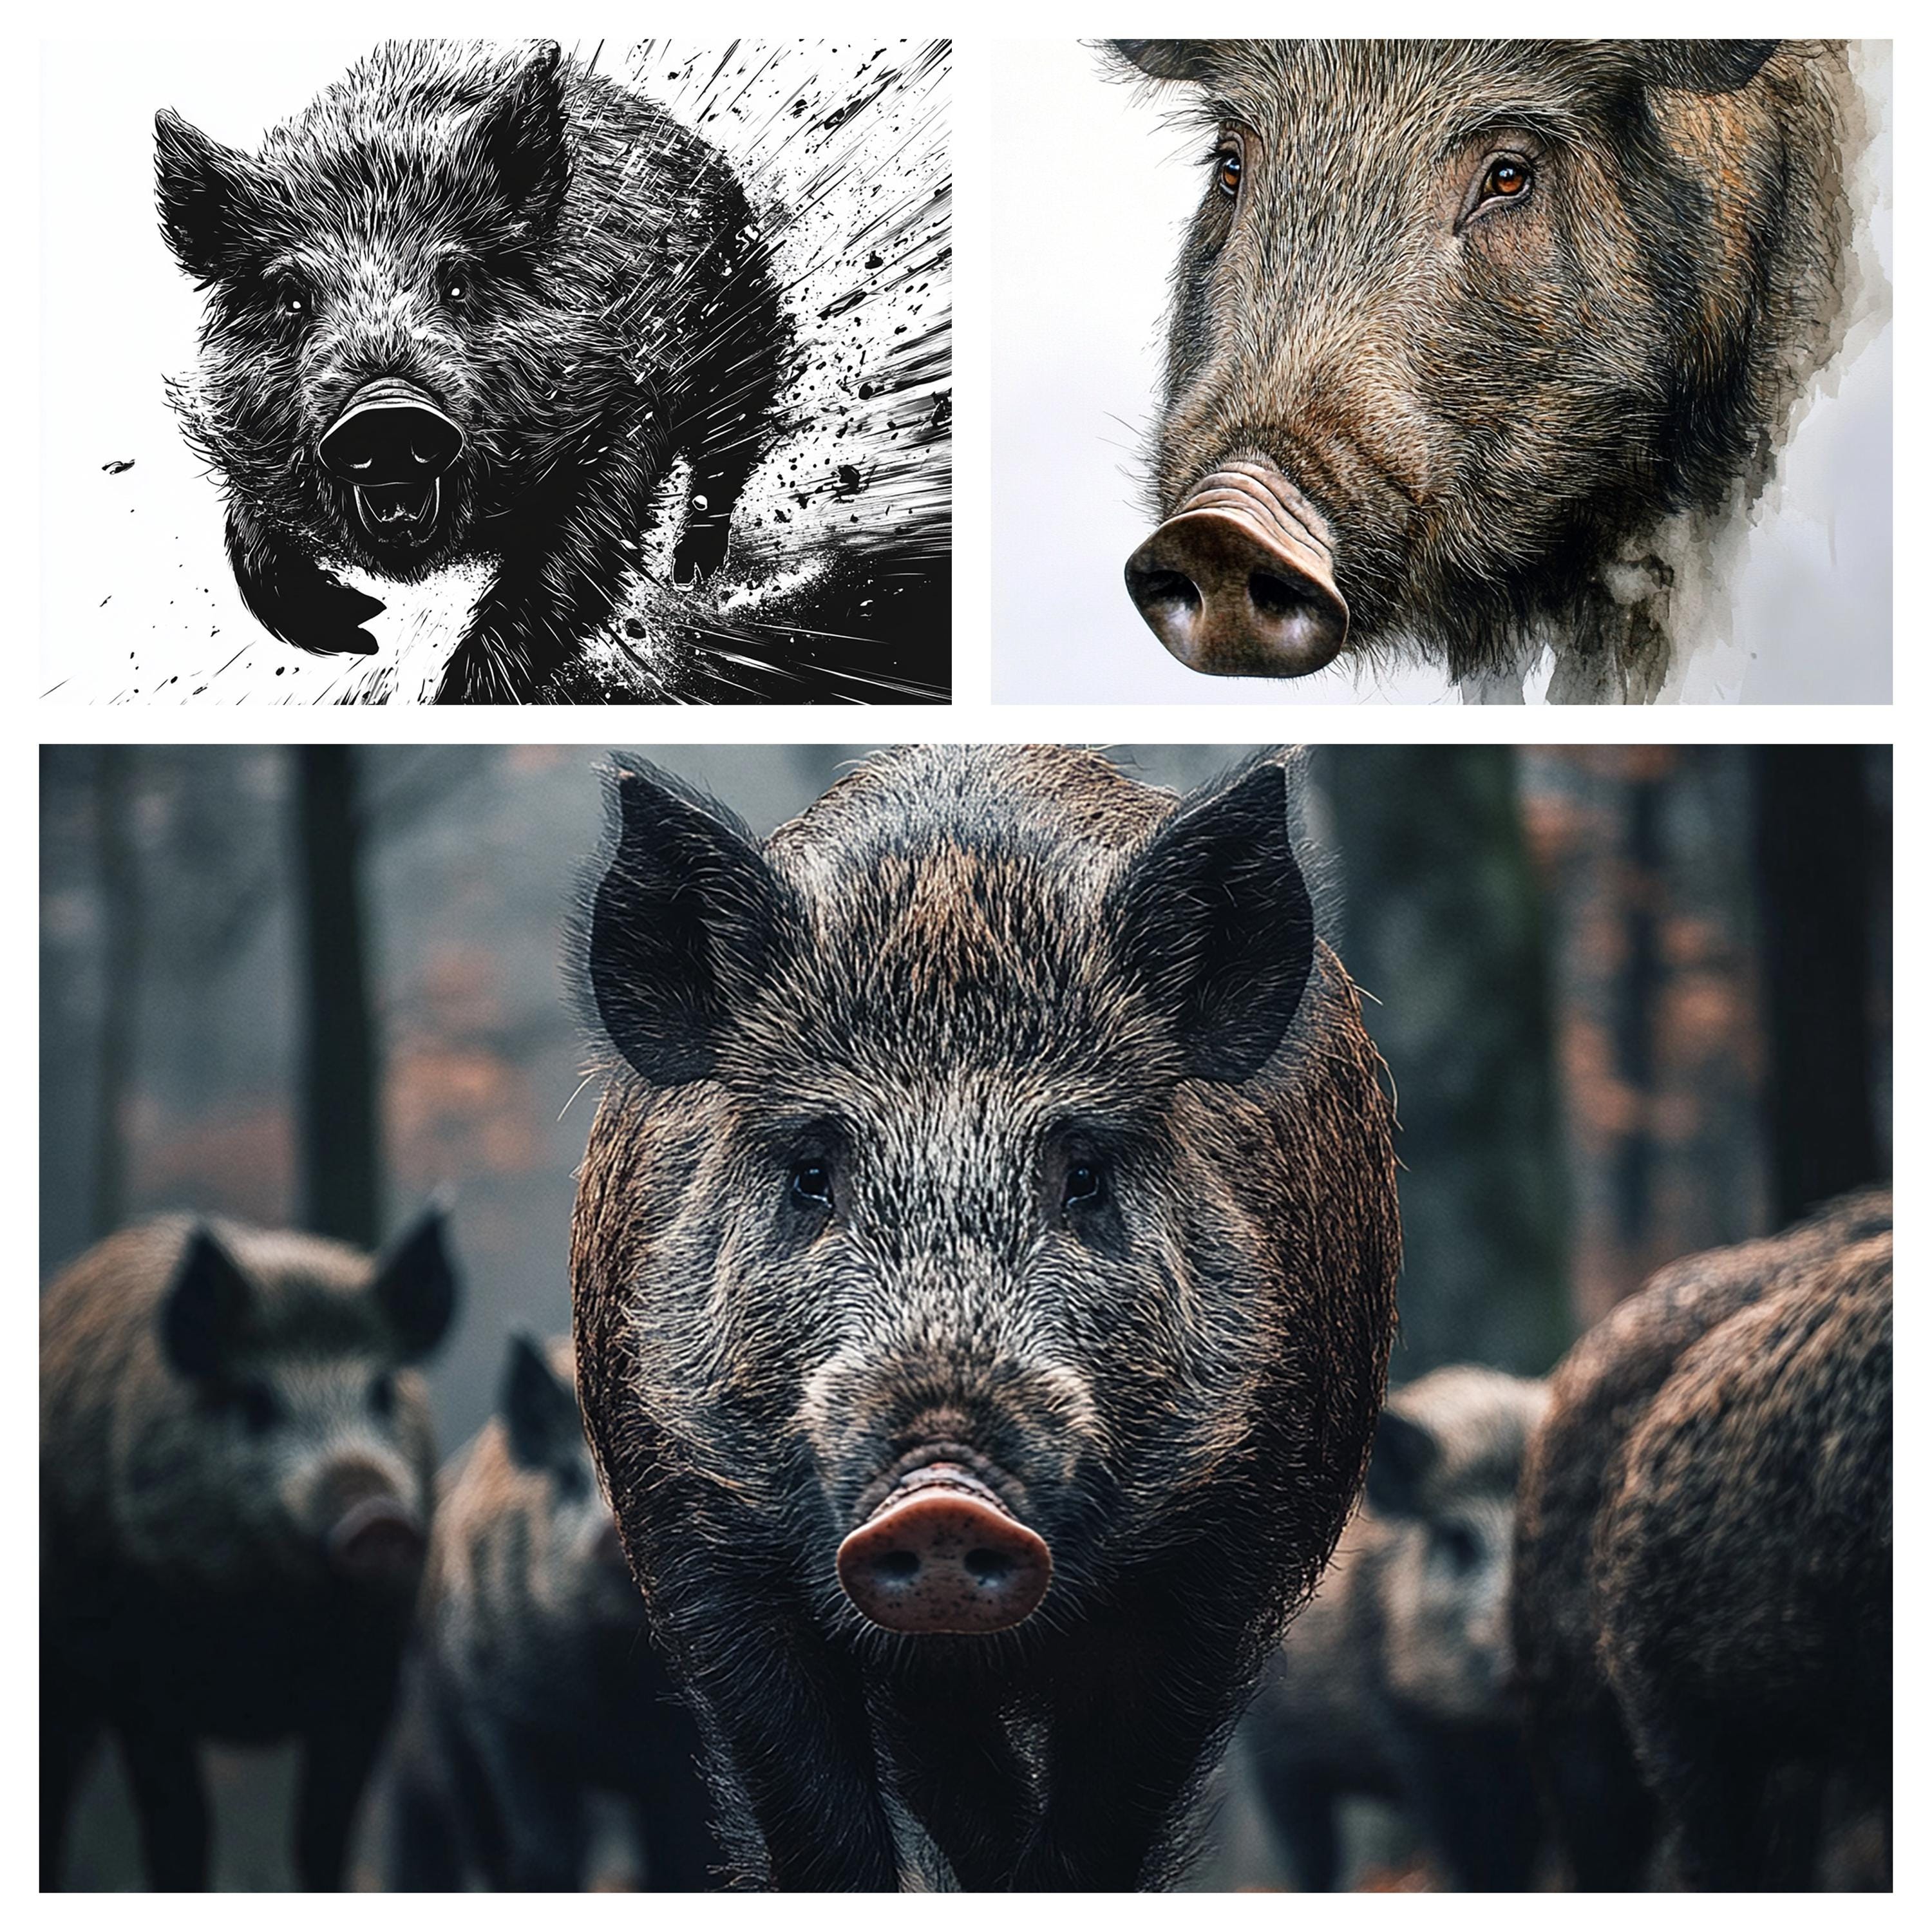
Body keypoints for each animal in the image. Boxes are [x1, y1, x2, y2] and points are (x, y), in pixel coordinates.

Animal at [40, 1210, 459, 1890]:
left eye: (381, 1392)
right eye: (256, 1402)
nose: (377, 1517)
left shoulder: (373, 1676)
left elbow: (322, 1836)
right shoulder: (139, 1677)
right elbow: (181, 1833)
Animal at [155, 40, 785, 703]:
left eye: (458, 282)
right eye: (292, 297)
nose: (385, 410)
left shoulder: (621, 416)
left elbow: (561, 571)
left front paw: (451, 688)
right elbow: (246, 532)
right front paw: (364, 628)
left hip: (743, 326)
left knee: (730, 448)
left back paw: (691, 573)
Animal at [569, 744, 1402, 1890]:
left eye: (1084, 1175)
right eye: (812, 1175)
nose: (941, 1496)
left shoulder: (1217, 1563)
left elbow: (1101, 1825)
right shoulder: (700, 1535)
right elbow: (817, 1817)